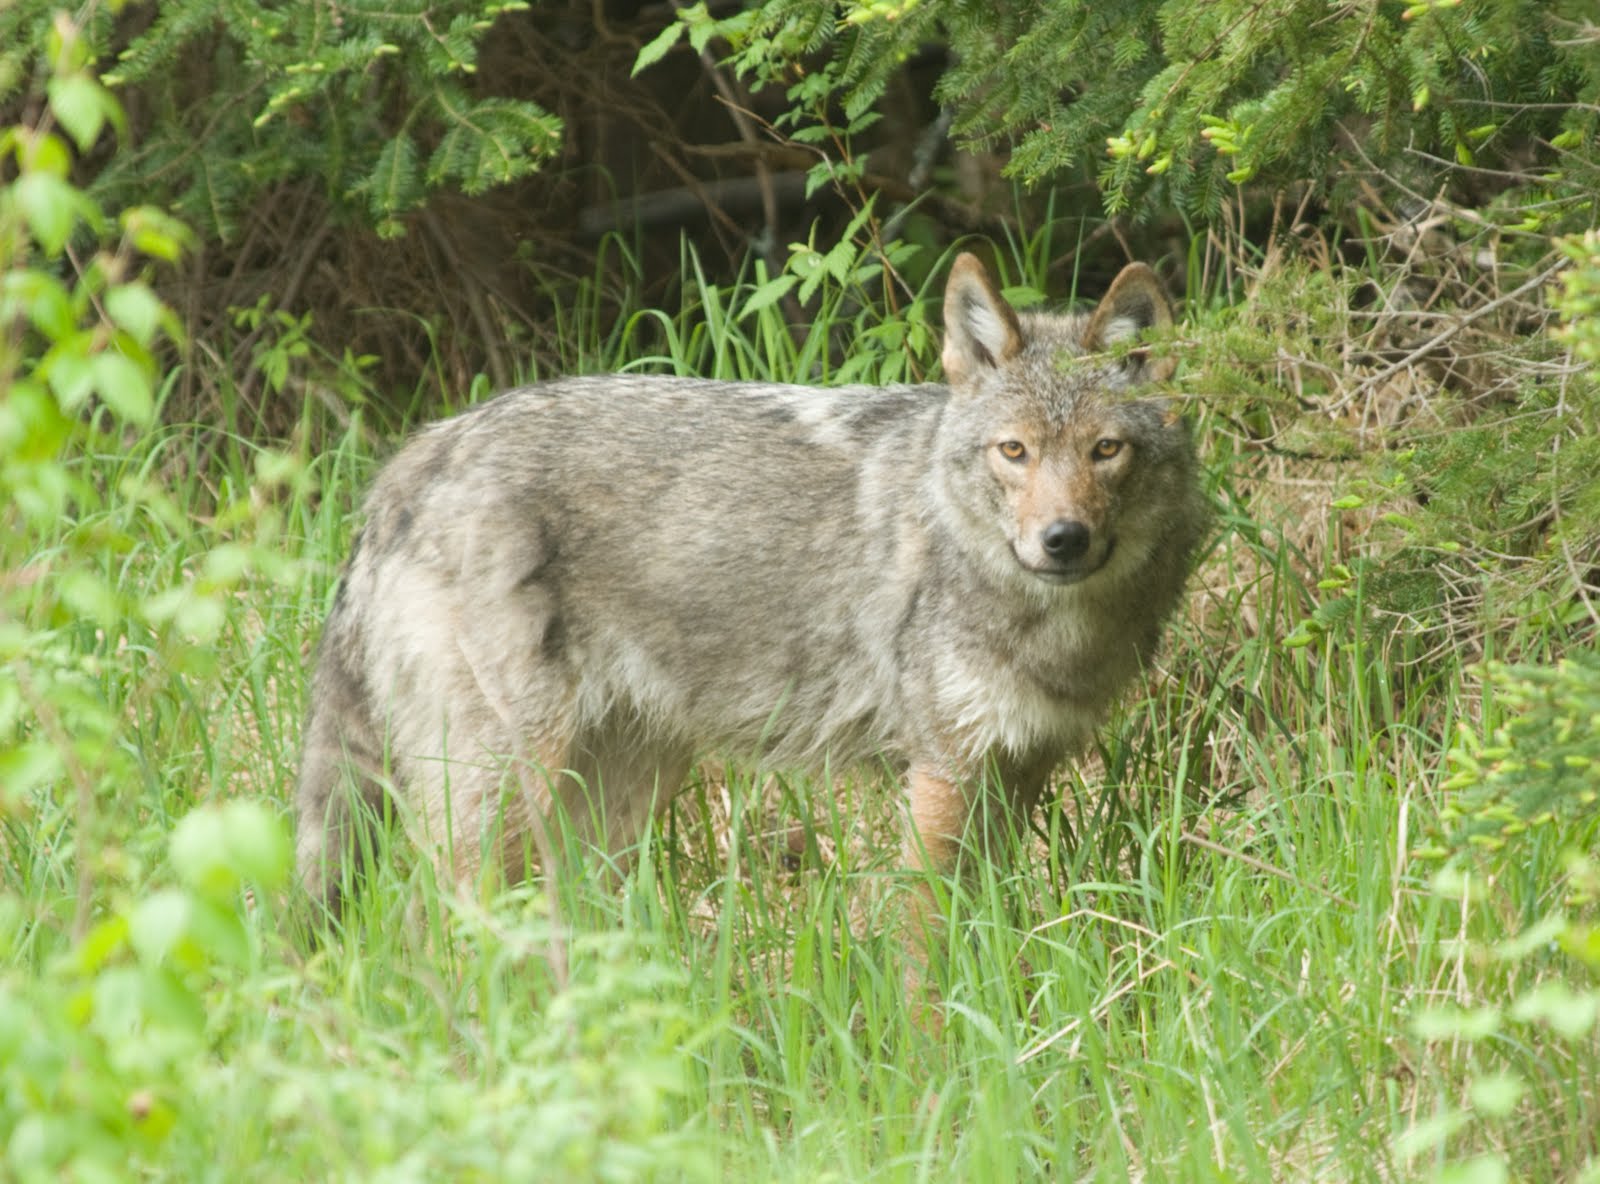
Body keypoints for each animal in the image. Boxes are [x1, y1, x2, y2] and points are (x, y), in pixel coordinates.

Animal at [295, 253, 1206, 928]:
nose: (1062, 540)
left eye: (1105, 451)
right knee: (430, 929)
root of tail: (417, 456)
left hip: (607, 808)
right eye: (1014, 452)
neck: (1053, 628)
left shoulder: (1019, 773)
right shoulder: (942, 775)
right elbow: (926, 953)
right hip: (506, 794)